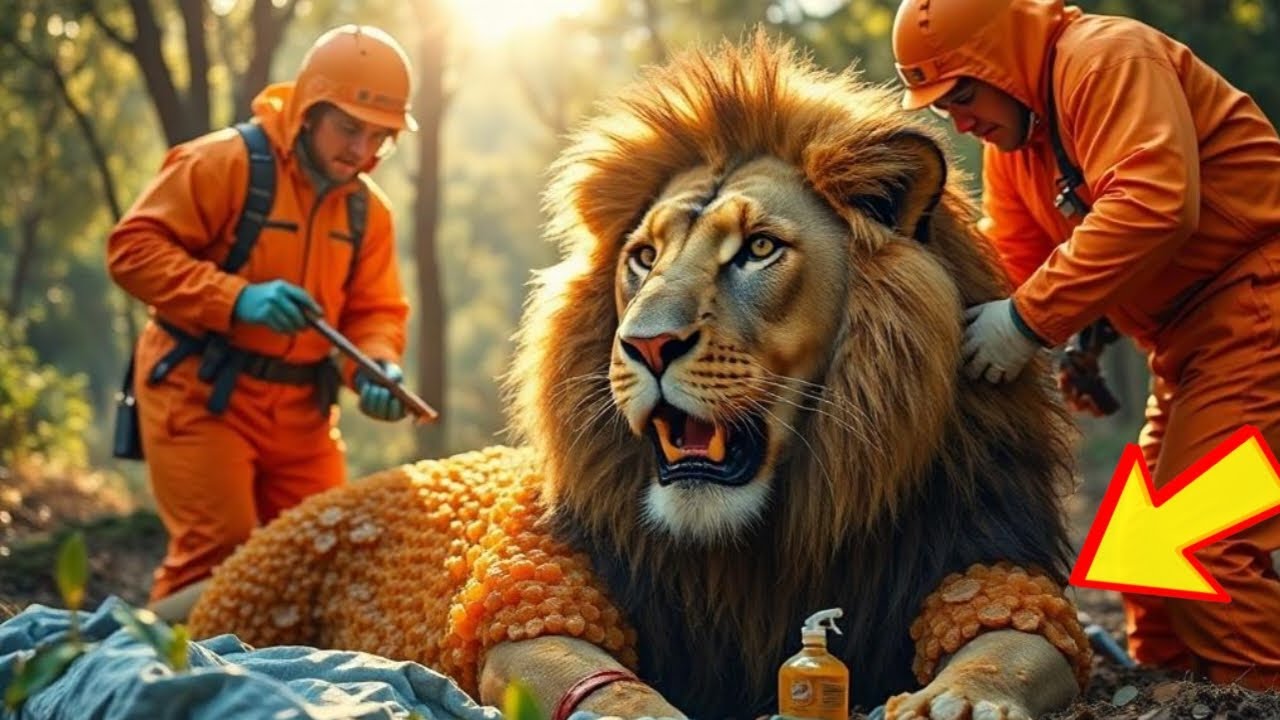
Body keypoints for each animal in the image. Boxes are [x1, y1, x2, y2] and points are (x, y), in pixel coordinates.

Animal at [187, 33, 1089, 720]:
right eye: (644, 257)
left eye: (759, 249)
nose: (647, 345)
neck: (763, 541)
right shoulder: (535, 583)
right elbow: (608, 685)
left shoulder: (987, 555)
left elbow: (1012, 643)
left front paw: (955, 700)